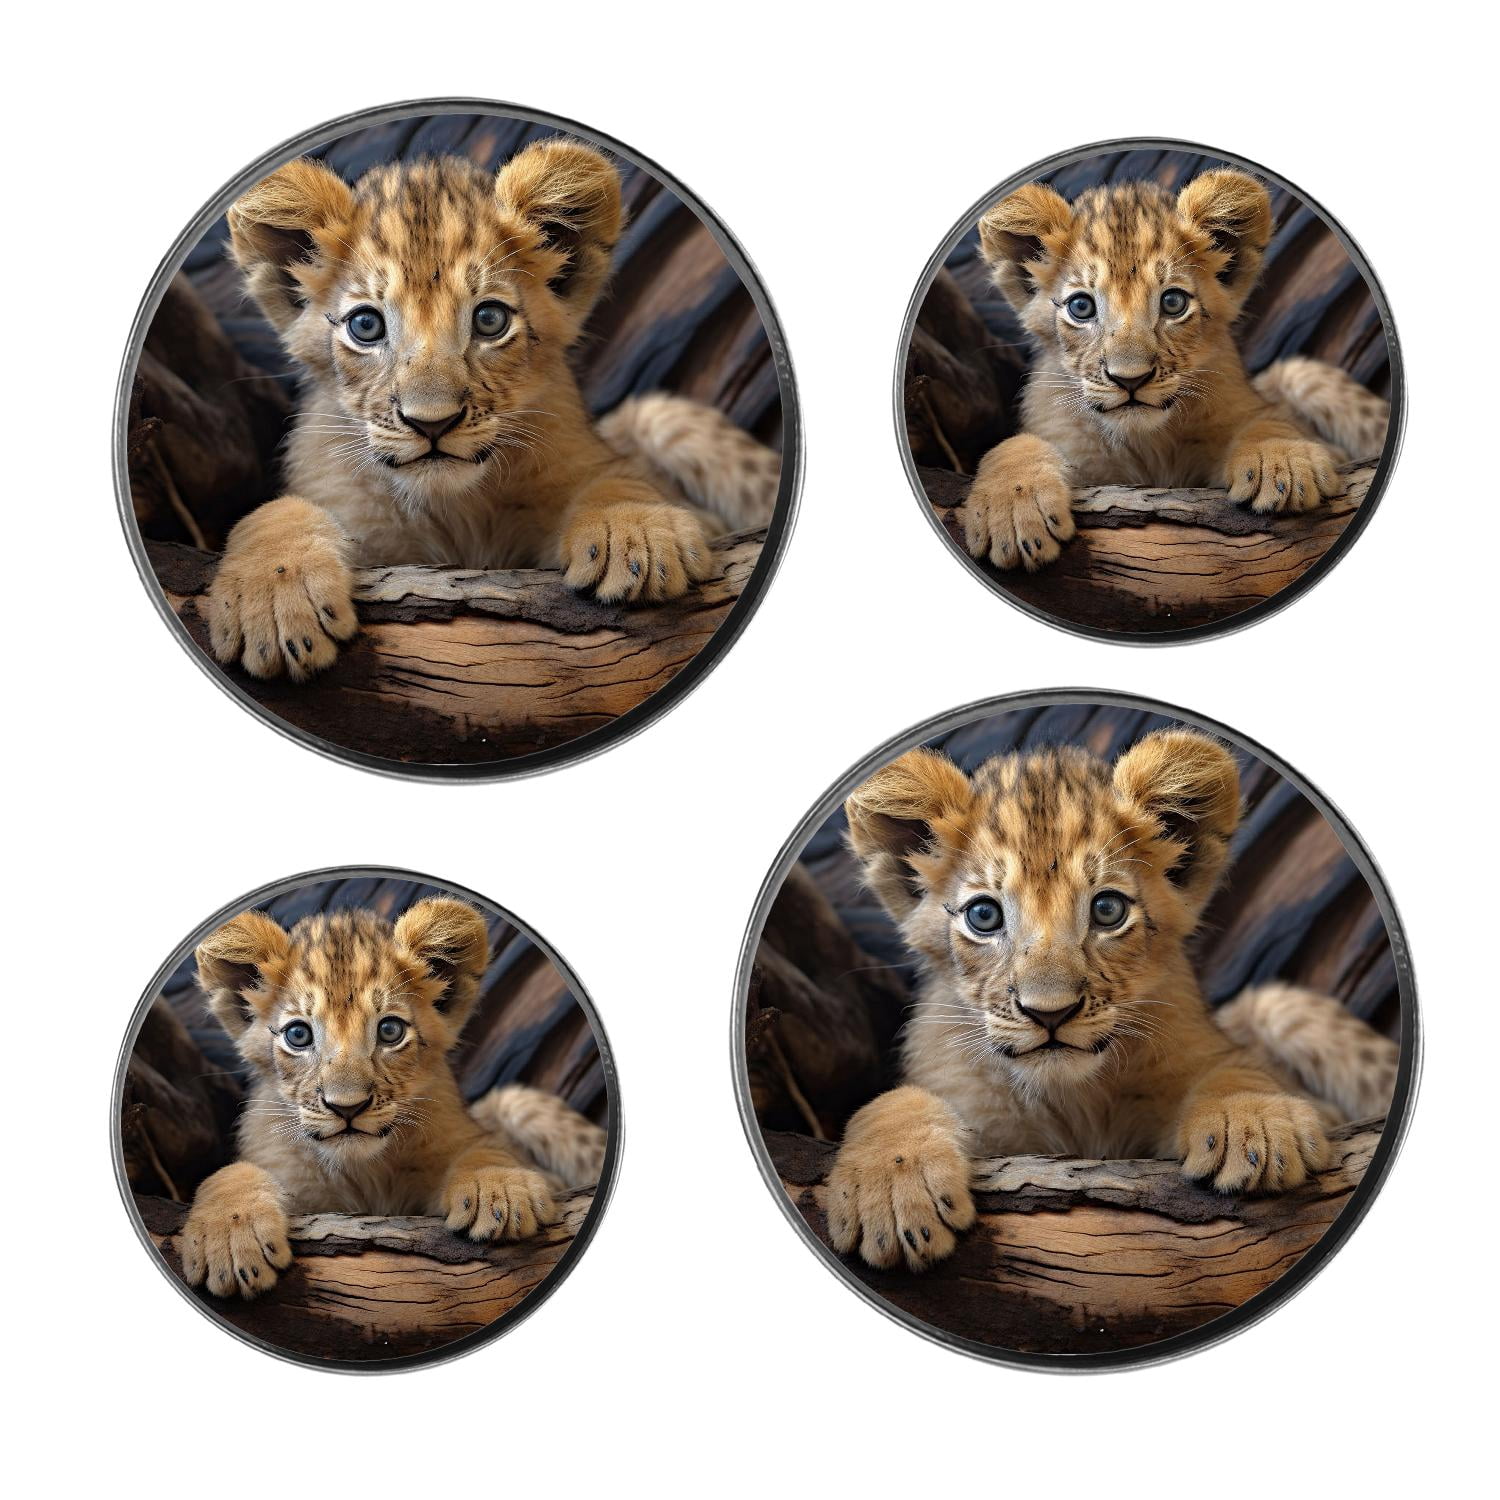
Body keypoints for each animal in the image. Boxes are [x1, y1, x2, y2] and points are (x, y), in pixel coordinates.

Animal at [179, 897, 606, 1300]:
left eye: (389, 1031)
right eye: (298, 1035)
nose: (347, 1107)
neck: (363, 1170)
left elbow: (487, 1148)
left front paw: (498, 1191)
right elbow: (231, 1173)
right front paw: (228, 1240)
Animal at [204, 139, 780, 681]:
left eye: (489, 320)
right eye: (366, 326)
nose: (432, 422)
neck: (454, 507)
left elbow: (621, 477)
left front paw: (636, 535)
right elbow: (276, 511)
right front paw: (272, 603)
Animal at [824, 728, 1399, 1272]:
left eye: (1107, 909)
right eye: (984, 916)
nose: (1049, 1013)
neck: (1072, 1098)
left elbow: (1238, 1067)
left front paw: (1253, 1124)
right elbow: (894, 1102)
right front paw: (890, 1192)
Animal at [961, 169, 1390, 571]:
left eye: (1172, 302)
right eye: (1081, 307)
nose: (1130, 379)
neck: (1147, 442)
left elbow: (1271, 420)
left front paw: (1281, 462)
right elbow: (1014, 445)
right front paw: (1011, 512)